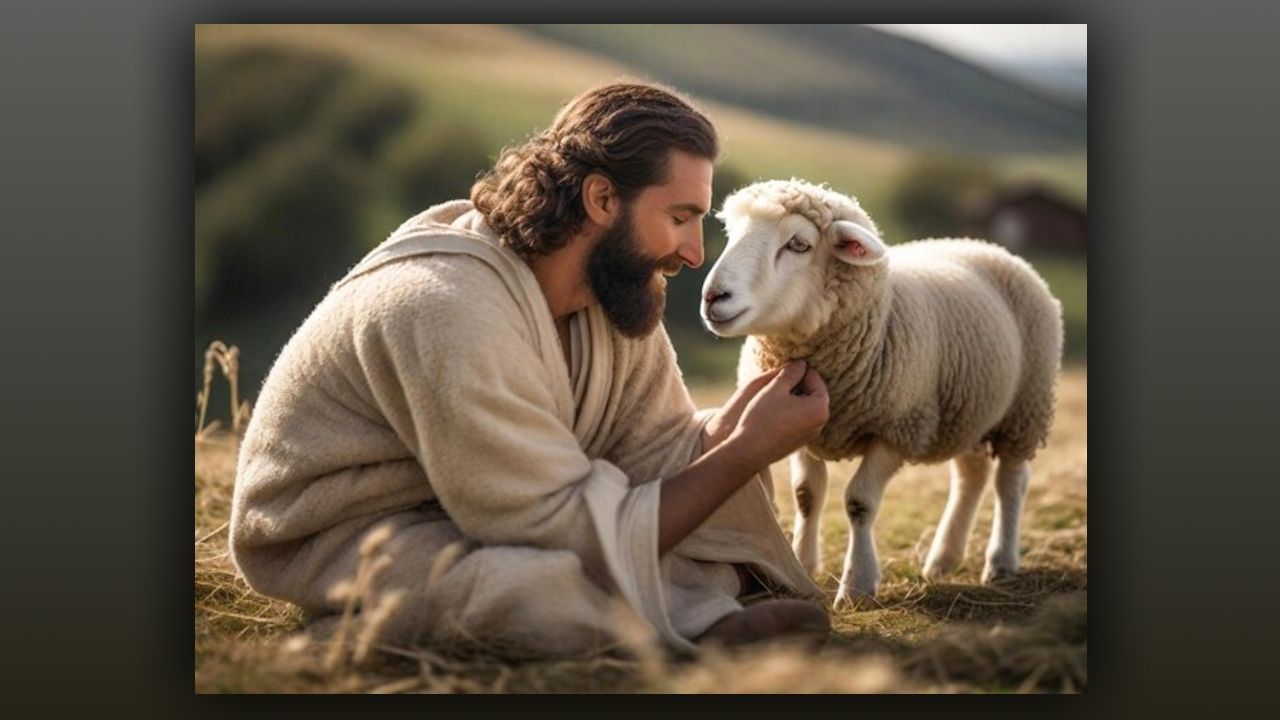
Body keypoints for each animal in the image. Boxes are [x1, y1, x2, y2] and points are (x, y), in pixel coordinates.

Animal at [700, 179, 1063, 608]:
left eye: (798, 244)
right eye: (731, 233)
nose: (713, 296)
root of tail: (984, 245)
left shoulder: (898, 430)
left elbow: (859, 503)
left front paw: (857, 586)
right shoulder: (803, 425)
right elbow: (807, 496)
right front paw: (804, 566)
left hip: (1025, 407)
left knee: (1010, 481)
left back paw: (1001, 562)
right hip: (969, 409)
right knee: (971, 476)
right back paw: (944, 559)